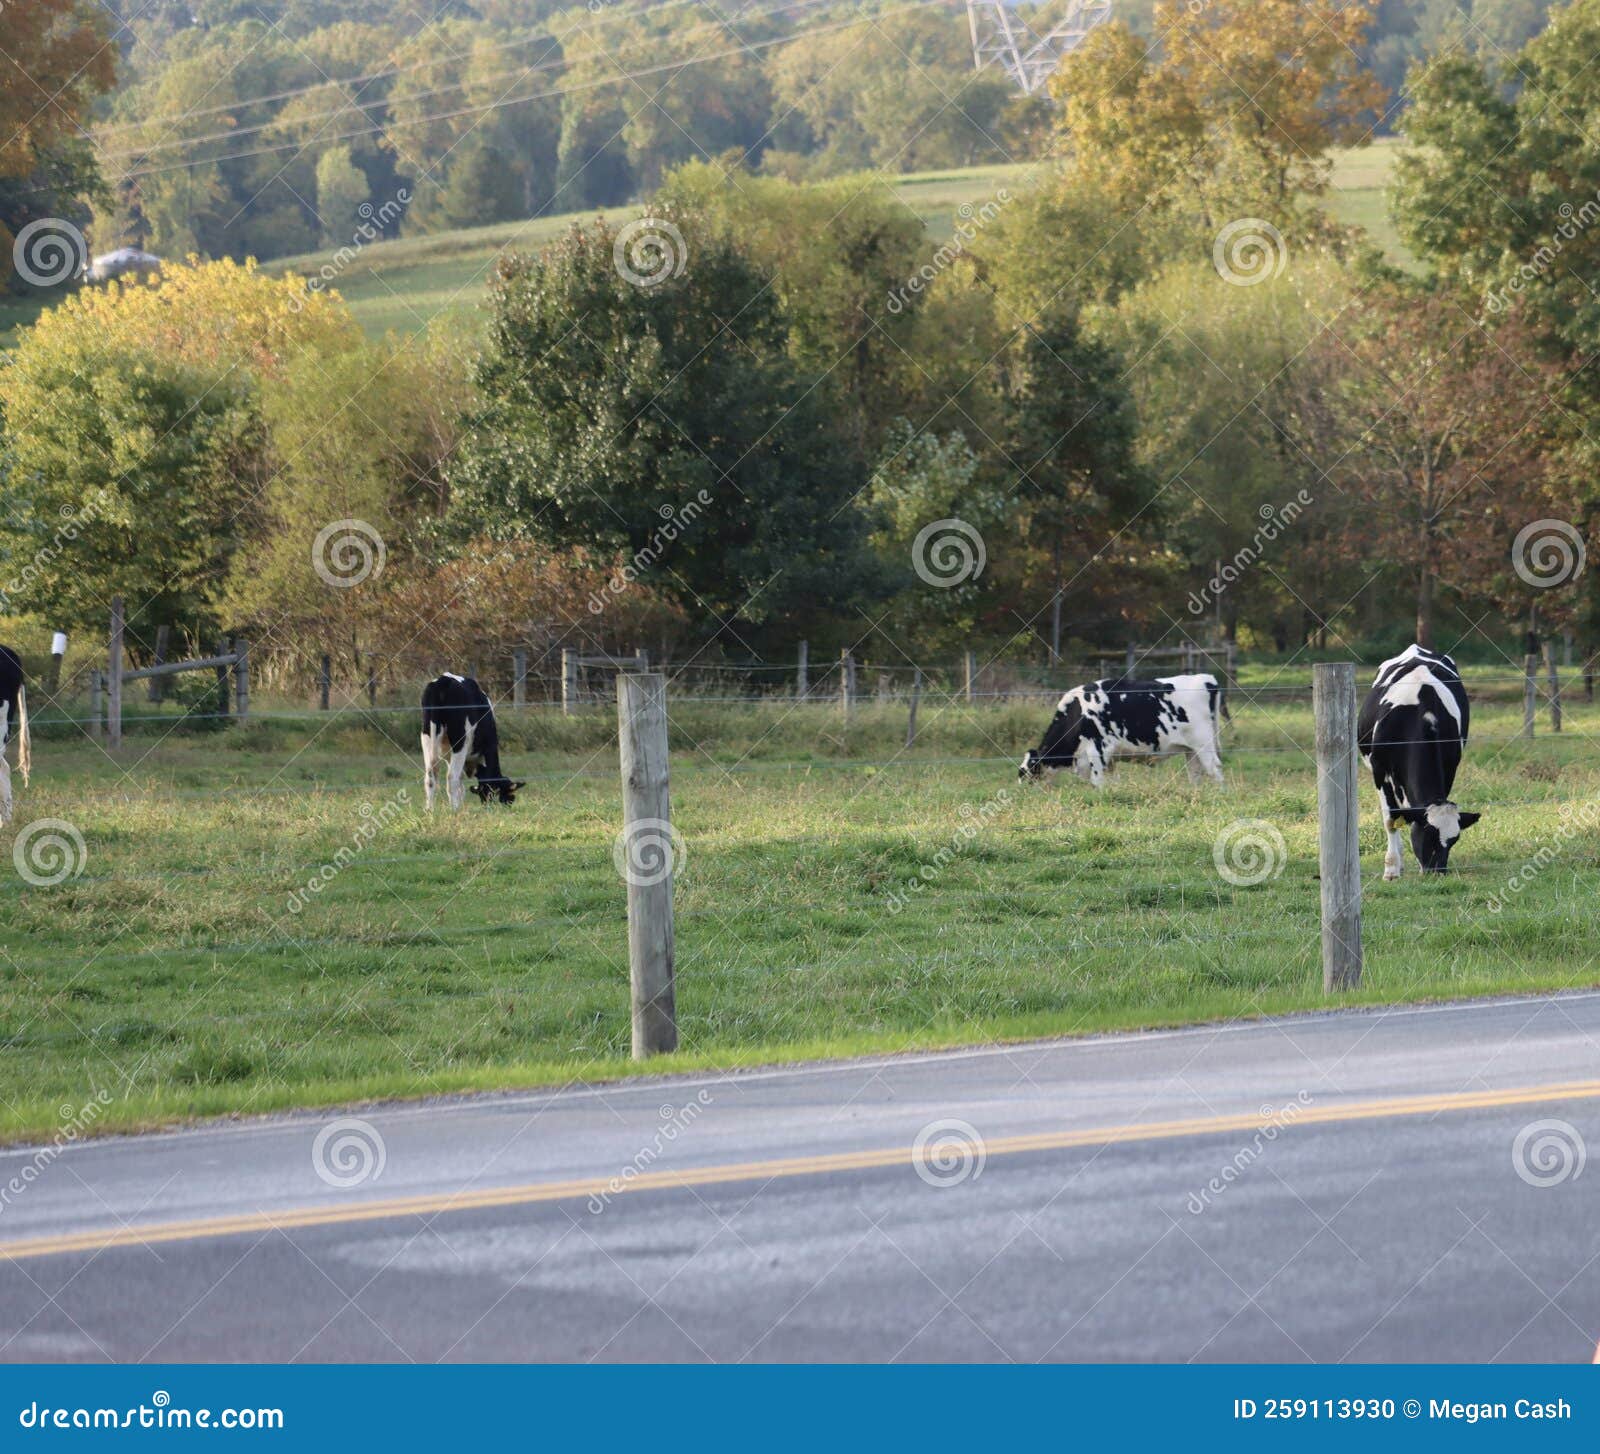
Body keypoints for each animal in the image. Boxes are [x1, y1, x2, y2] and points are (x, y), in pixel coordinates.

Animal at [420, 673, 525, 810]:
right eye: (509, 798)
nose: (489, 808)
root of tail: (444, 680)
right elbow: (459, 781)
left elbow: (461, 784)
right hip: (460, 742)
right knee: (451, 778)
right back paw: (454, 810)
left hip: (427, 736)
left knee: (431, 776)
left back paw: (429, 810)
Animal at [1020, 673, 1225, 788]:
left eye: (1028, 773)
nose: (1023, 793)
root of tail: (1207, 679)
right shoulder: (1108, 759)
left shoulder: (1097, 749)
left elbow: (1097, 782)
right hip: (1191, 750)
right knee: (1196, 775)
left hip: (1204, 744)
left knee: (1215, 770)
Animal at [1358, 644, 1480, 878]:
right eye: (1427, 834)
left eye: (1454, 840)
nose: (1437, 872)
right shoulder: (1379, 770)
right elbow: (1391, 819)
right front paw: (1392, 869)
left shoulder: (1450, 765)